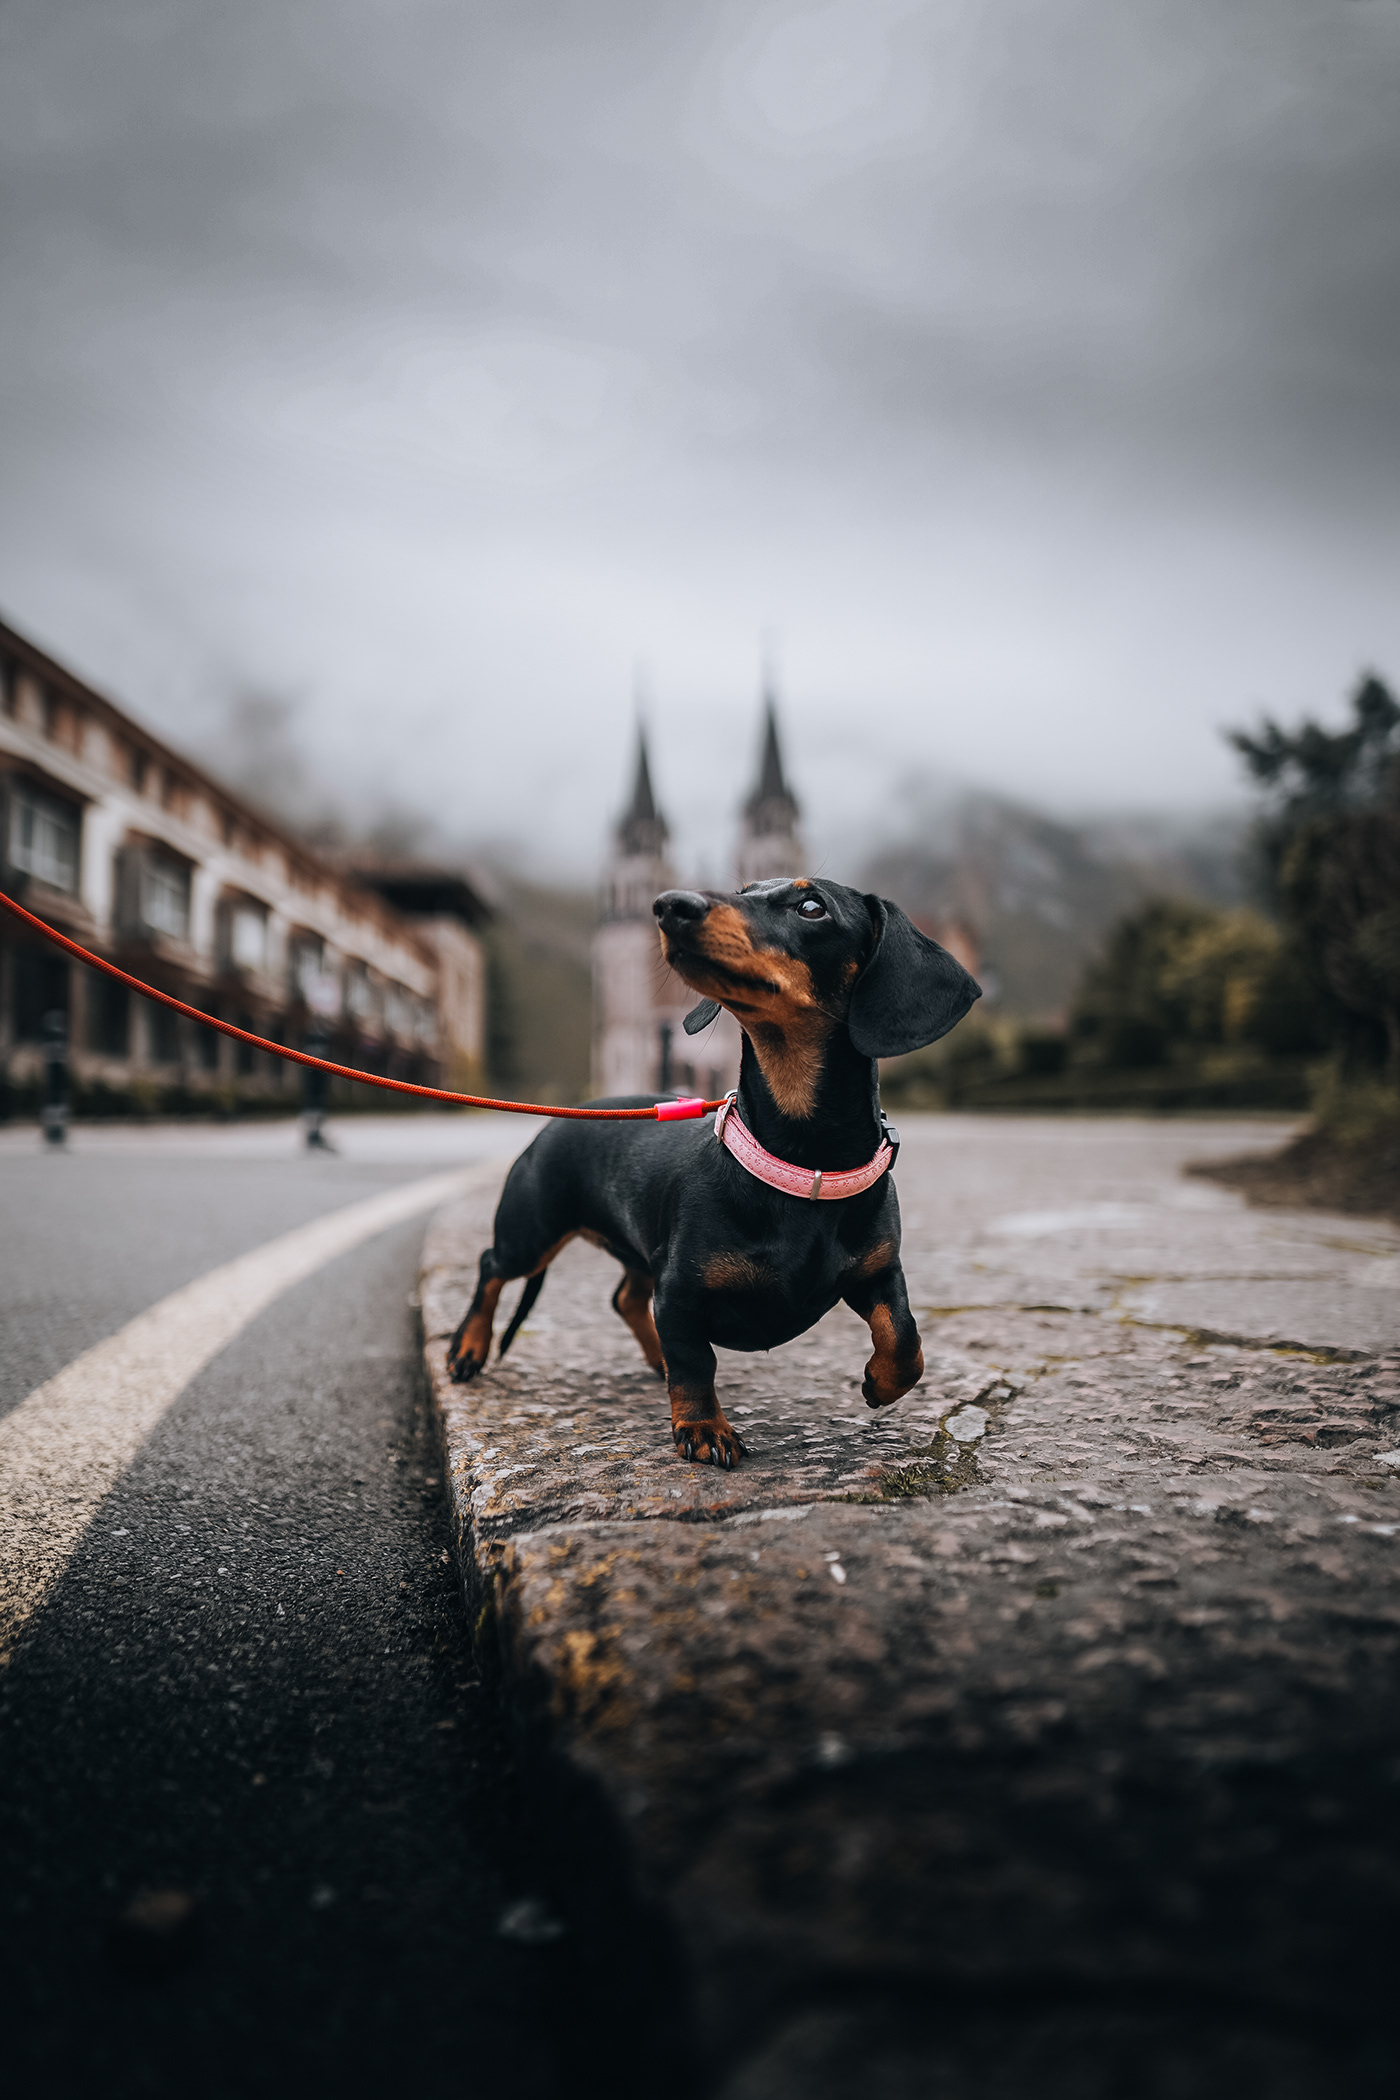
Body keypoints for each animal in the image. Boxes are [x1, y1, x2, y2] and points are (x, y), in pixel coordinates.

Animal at [451, 877, 986, 1469]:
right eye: (743, 890)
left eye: (812, 906)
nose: (670, 905)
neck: (804, 1167)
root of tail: (556, 1122)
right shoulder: (679, 1291)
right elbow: (694, 1363)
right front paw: (704, 1427)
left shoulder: (879, 1271)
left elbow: (905, 1338)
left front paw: (880, 1384)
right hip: (532, 1232)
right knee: (491, 1266)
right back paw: (467, 1349)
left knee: (625, 1298)